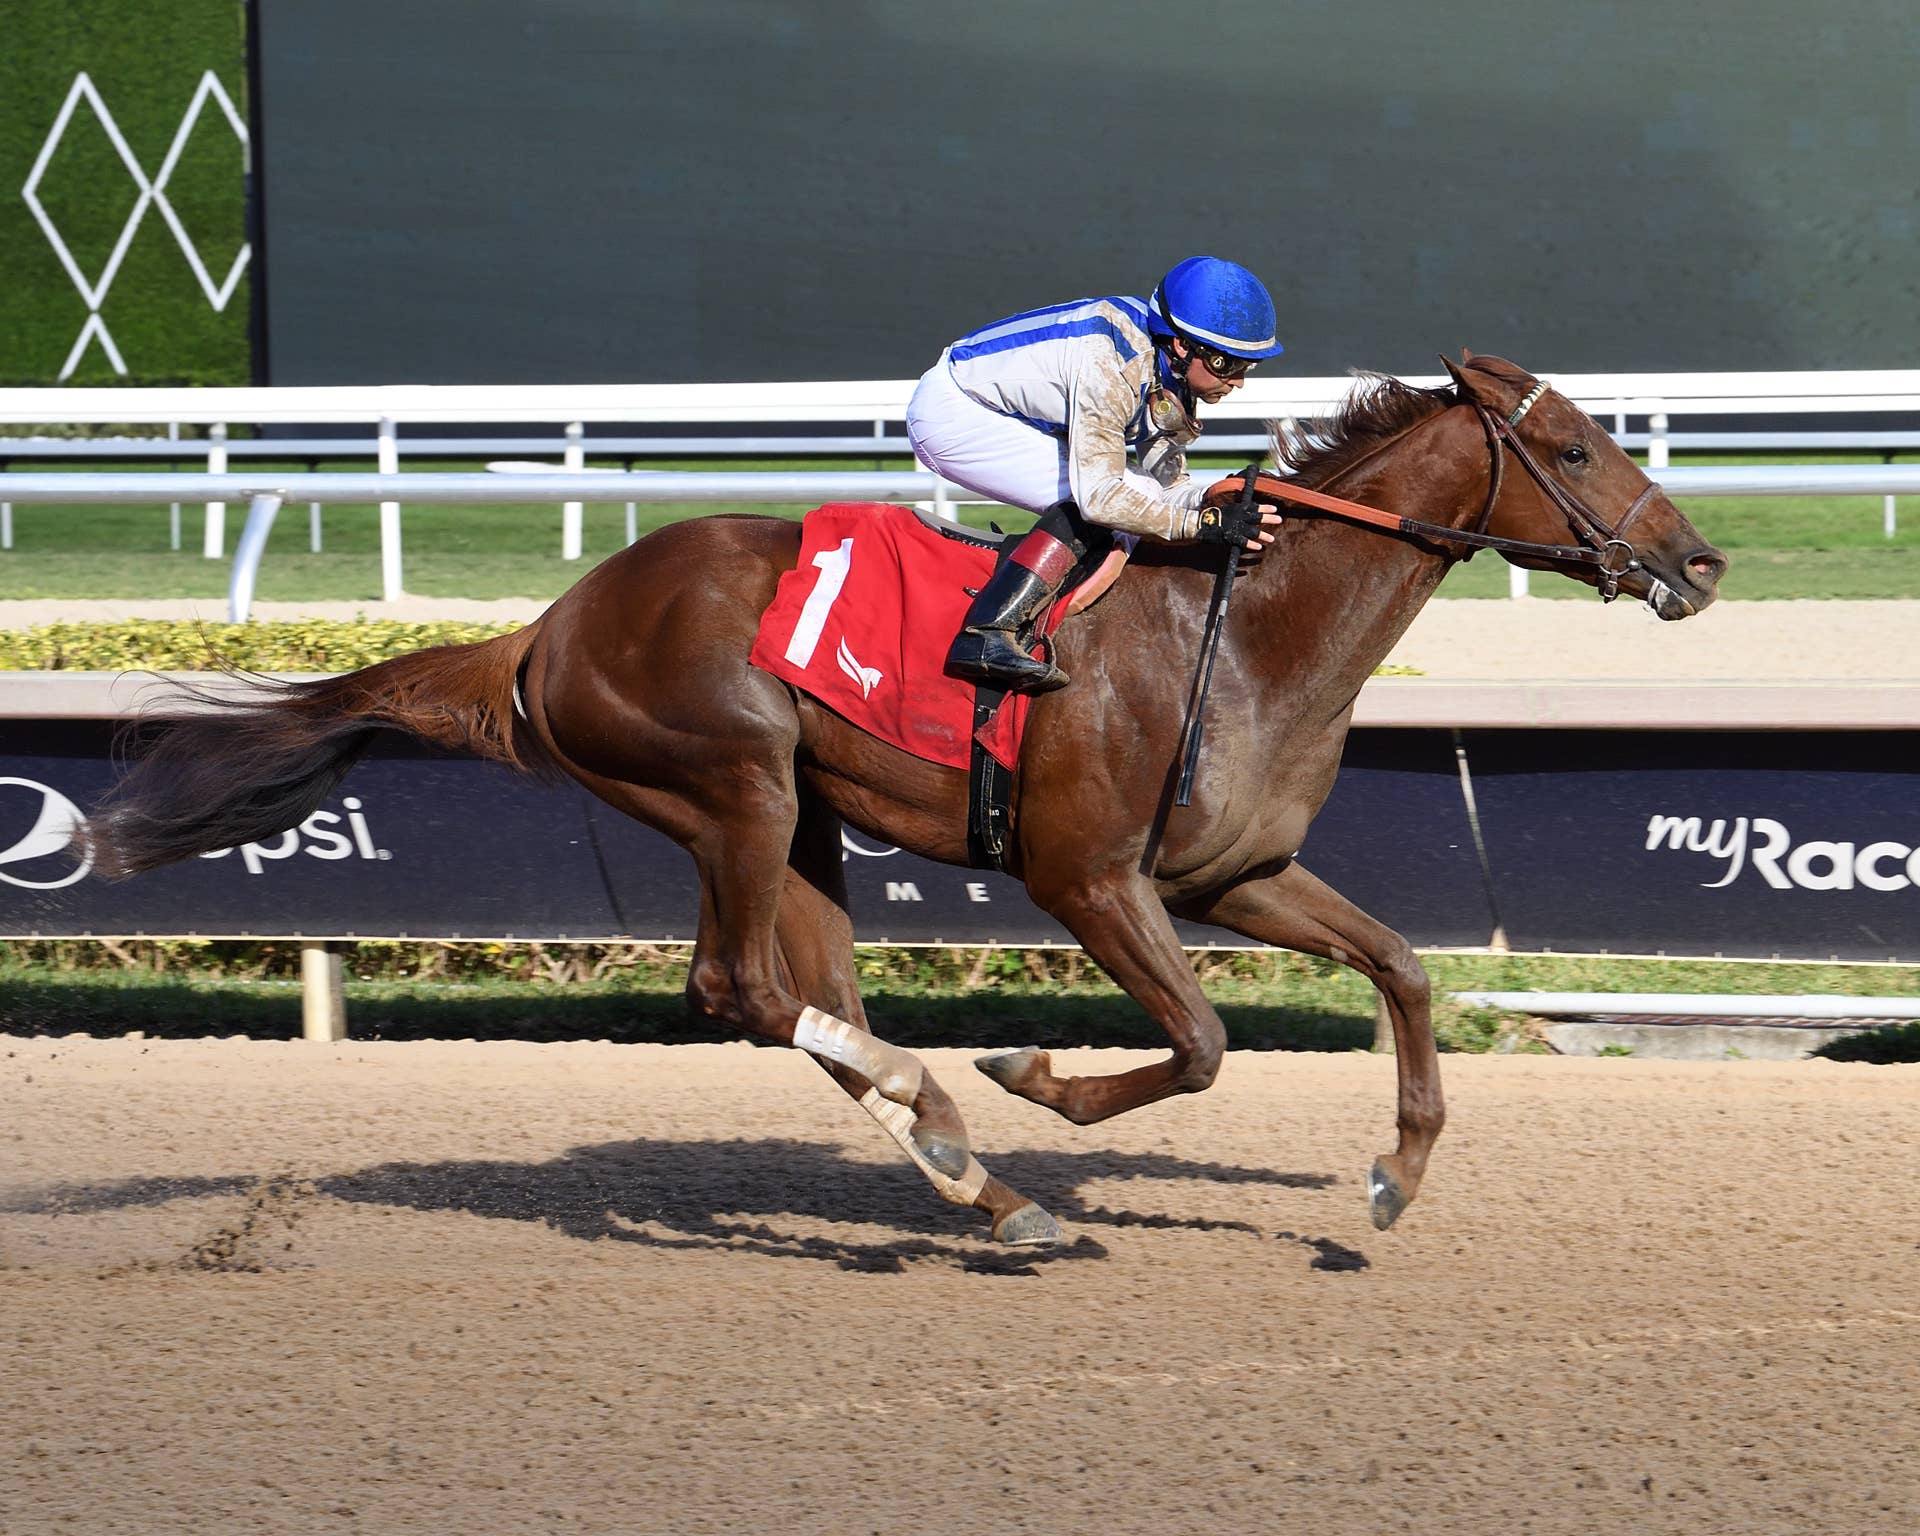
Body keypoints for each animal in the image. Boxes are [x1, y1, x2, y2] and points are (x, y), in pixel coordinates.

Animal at [88, 353, 1727, 1245]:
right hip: (732, 782)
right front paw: (1033, 1076)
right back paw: (944, 1107)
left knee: (805, 996)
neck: (1248, 626)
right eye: (1573, 446)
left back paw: (971, 1175)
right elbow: (1199, 1045)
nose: (1700, 561)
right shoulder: (1087, 877)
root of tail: (546, 629)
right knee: (741, 988)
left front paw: (1394, 1176)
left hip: (806, 819)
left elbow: (1401, 965)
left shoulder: (1233, 876)